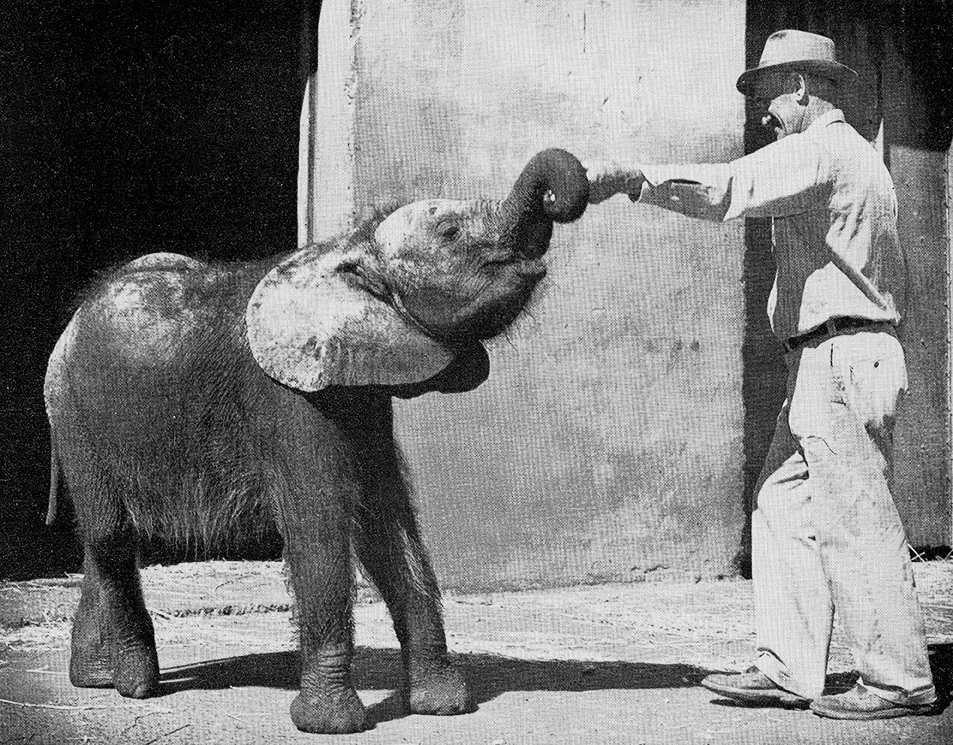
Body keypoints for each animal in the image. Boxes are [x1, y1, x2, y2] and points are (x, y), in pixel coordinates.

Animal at [43, 148, 589, 734]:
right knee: (111, 534)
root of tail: (70, 325)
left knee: (101, 541)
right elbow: (320, 521)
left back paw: (94, 680)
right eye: (450, 232)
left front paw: (443, 706)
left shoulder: (361, 386)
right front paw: (332, 724)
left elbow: (386, 522)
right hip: (75, 416)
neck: (348, 249)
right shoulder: (285, 396)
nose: (558, 197)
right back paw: (135, 686)